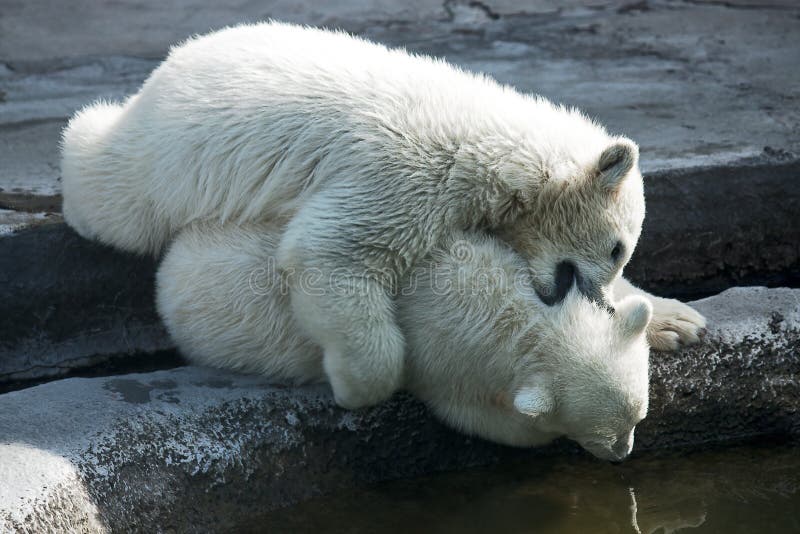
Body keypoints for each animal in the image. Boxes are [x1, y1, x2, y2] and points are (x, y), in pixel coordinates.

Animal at [61, 21, 703, 409]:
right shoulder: (407, 172)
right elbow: (331, 253)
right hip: (164, 159)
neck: (495, 145)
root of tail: (182, 54)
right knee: (112, 190)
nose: (599, 300)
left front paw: (678, 322)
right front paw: (356, 387)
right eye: (617, 246)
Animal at [156, 222, 652, 461]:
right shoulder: (444, 362)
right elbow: (489, 422)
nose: (623, 454)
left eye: (639, 417)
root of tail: (168, 265)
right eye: (607, 434)